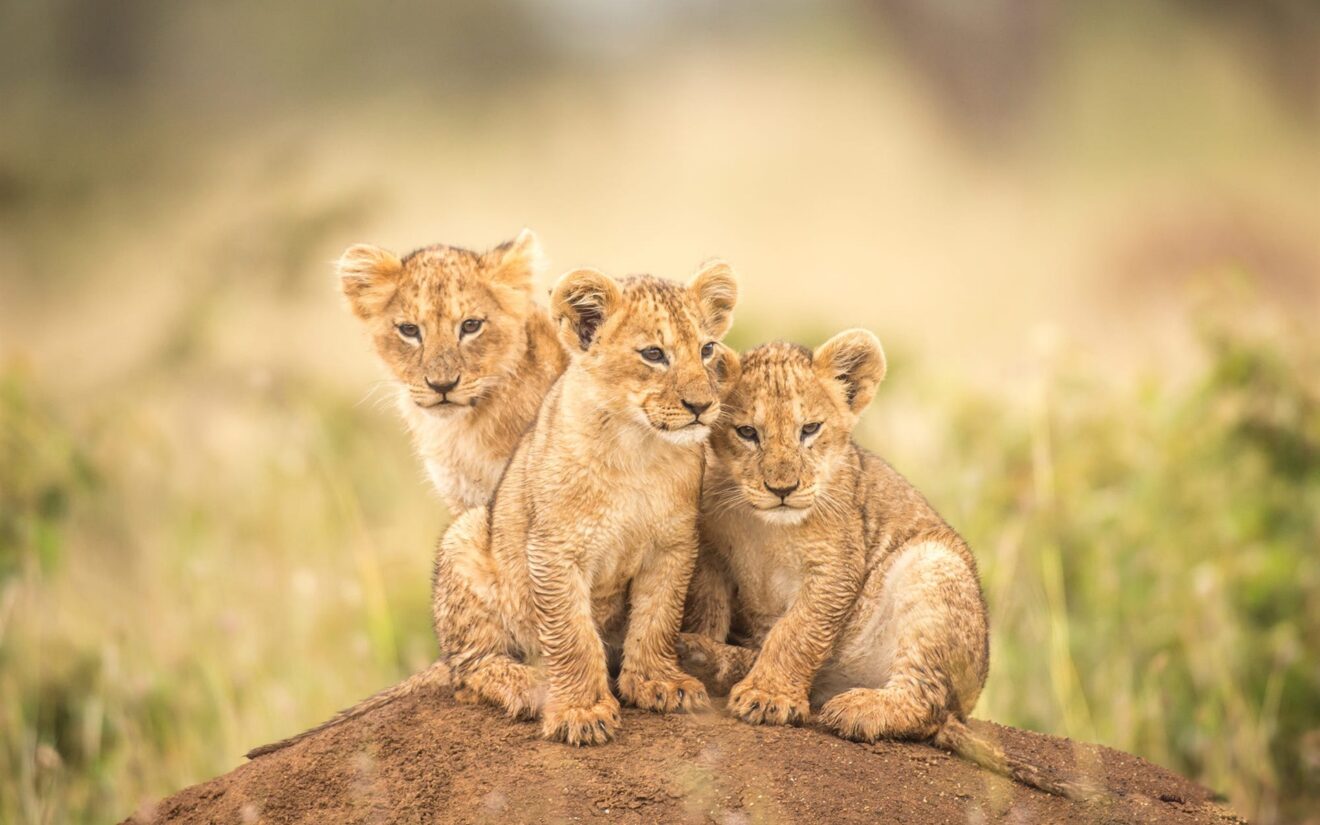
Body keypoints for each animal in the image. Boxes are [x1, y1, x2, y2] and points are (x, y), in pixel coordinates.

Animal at [248, 261, 739, 756]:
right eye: (654, 354)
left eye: (707, 349)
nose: (702, 406)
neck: (639, 447)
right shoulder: (553, 549)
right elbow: (572, 637)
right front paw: (580, 712)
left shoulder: (673, 546)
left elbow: (657, 620)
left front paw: (659, 684)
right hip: (466, 538)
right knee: (468, 670)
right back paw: (529, 686)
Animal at [677, 332, 1101, 800]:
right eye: (747, 432)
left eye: (810, 429)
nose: (782, 489)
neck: (765, 526)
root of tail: (962, 713)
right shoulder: (712, 556)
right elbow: (710, 611)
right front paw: (709, 660)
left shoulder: (837, 564)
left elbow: (798, 631)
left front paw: (769, 697)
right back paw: (700, 657)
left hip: (934, 566)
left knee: (926, 706)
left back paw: (859, 708)